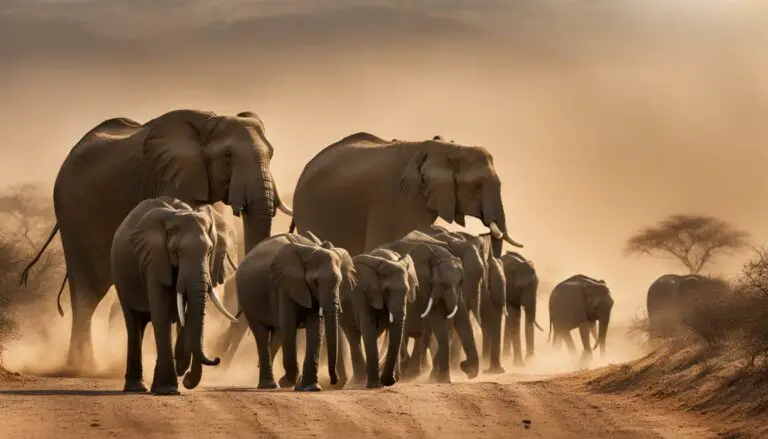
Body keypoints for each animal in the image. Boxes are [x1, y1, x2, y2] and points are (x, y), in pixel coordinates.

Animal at [19, 109, 292, 374]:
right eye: (227, 155)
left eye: (271, 154)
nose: (219, 359)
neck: (208, 124)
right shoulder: (171, 180)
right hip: (74, 219)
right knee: (86, 292)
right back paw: (84, 367)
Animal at [110, 196, 239, 395]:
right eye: (177, 252)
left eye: (210, 252)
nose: (217, 359)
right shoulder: (154, 258)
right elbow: (161, 313)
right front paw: (169, 389)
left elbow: (186, 313)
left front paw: (178, 369)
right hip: (121, 280)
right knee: (134, 323)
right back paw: (136, 388)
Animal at [234, 232, 356, 391]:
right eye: (315, 282)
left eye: (339, 282)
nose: (333, 380)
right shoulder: (284, 285)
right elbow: (288, 325)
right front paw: (289, 382)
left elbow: (316, 328)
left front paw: (311, 388)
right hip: (247, 300)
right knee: (261, 333)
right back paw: (270, 385)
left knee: (277, 334)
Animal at [340, 248, 419, 388]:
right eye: (386, 291)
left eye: (407, 291)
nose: (389, 381)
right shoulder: (360, 292)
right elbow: (368, 327)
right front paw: (375, 385)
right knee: (353, 336)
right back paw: (359, 382)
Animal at [381, 230, 480, 383]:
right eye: (443, 285)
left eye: (461, 282)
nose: (465, 366)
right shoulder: (425, 286)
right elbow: (437, 322)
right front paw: (444, 381)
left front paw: (441, 380)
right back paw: (406, 372)